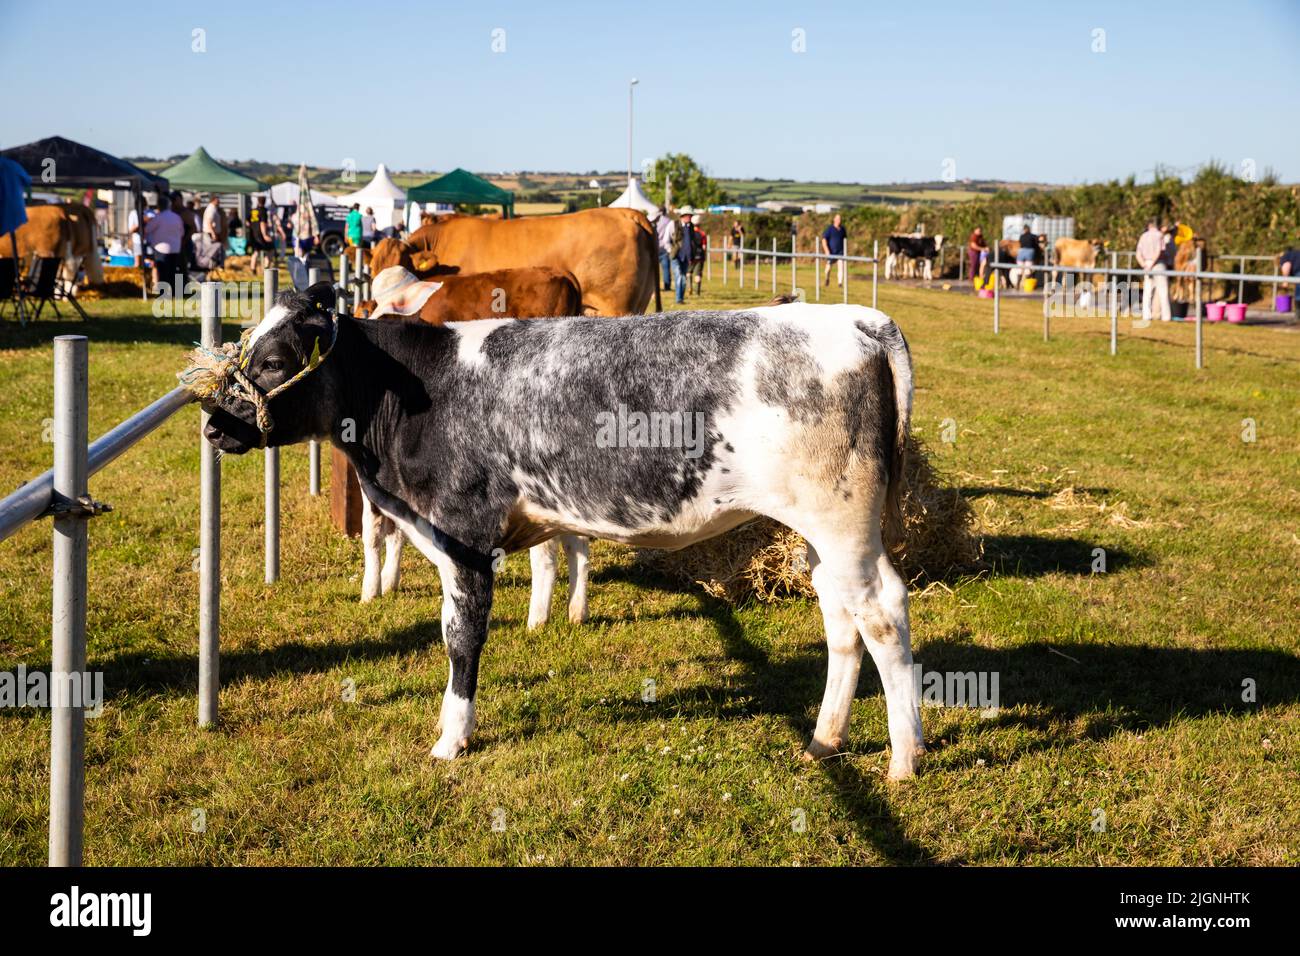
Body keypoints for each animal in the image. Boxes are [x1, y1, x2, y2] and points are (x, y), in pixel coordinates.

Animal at [197, 285, 926, 778]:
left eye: (274, 360)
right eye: (244, 347)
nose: (213, 423)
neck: (409, 398)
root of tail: (857, 318)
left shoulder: (464, 540)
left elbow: (461, 641)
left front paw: (451, 739)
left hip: (844, 521)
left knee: (883, 614)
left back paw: (905, 757)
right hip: (821, 534)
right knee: (840, 618)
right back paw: (824, 740)